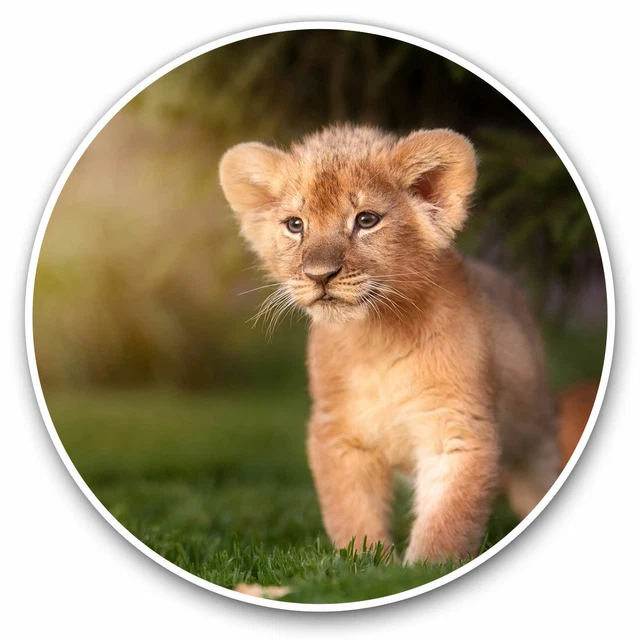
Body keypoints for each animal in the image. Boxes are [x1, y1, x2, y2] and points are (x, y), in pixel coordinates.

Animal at [219, 124, 561, 564]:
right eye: (295, 224)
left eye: (366, 220)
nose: (319, 275)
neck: (376, 339)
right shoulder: (339, 433)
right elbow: (353, 514)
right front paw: (367, 565)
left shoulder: (457, 430)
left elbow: (446, 522)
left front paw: (422, 569)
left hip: (536, 438)